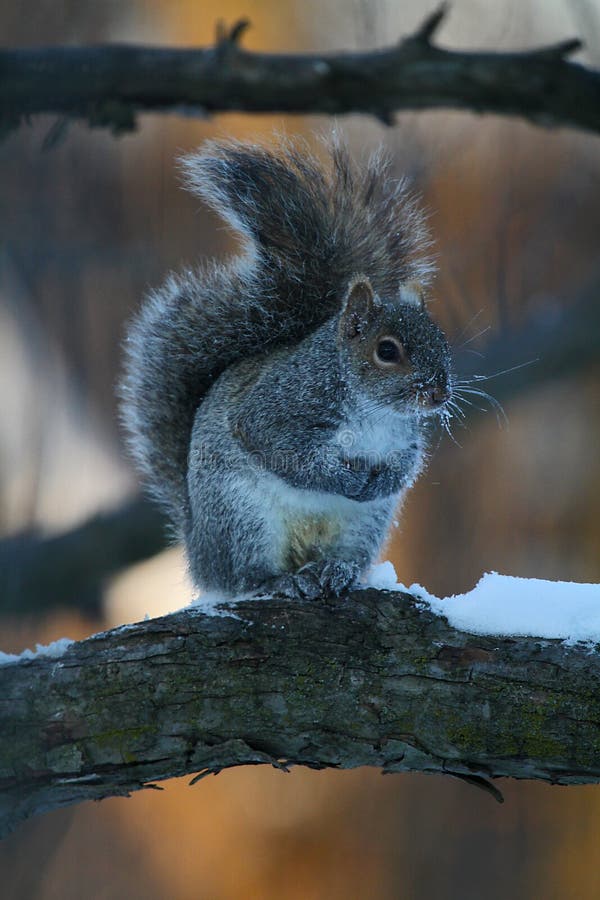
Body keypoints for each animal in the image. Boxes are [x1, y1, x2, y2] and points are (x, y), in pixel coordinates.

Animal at [120, 135, 452, 599]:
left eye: (441, 340)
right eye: (387, 351)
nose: (440, 392)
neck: (372, 410)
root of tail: (200, 552)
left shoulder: (403, 439)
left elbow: (405, 466)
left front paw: (382, 482)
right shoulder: (280, 407)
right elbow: (282, 451)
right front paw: (344, 481)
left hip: (362, 528)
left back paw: (335, 571)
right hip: (243, 518)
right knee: (245, 576)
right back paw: (278, 580)